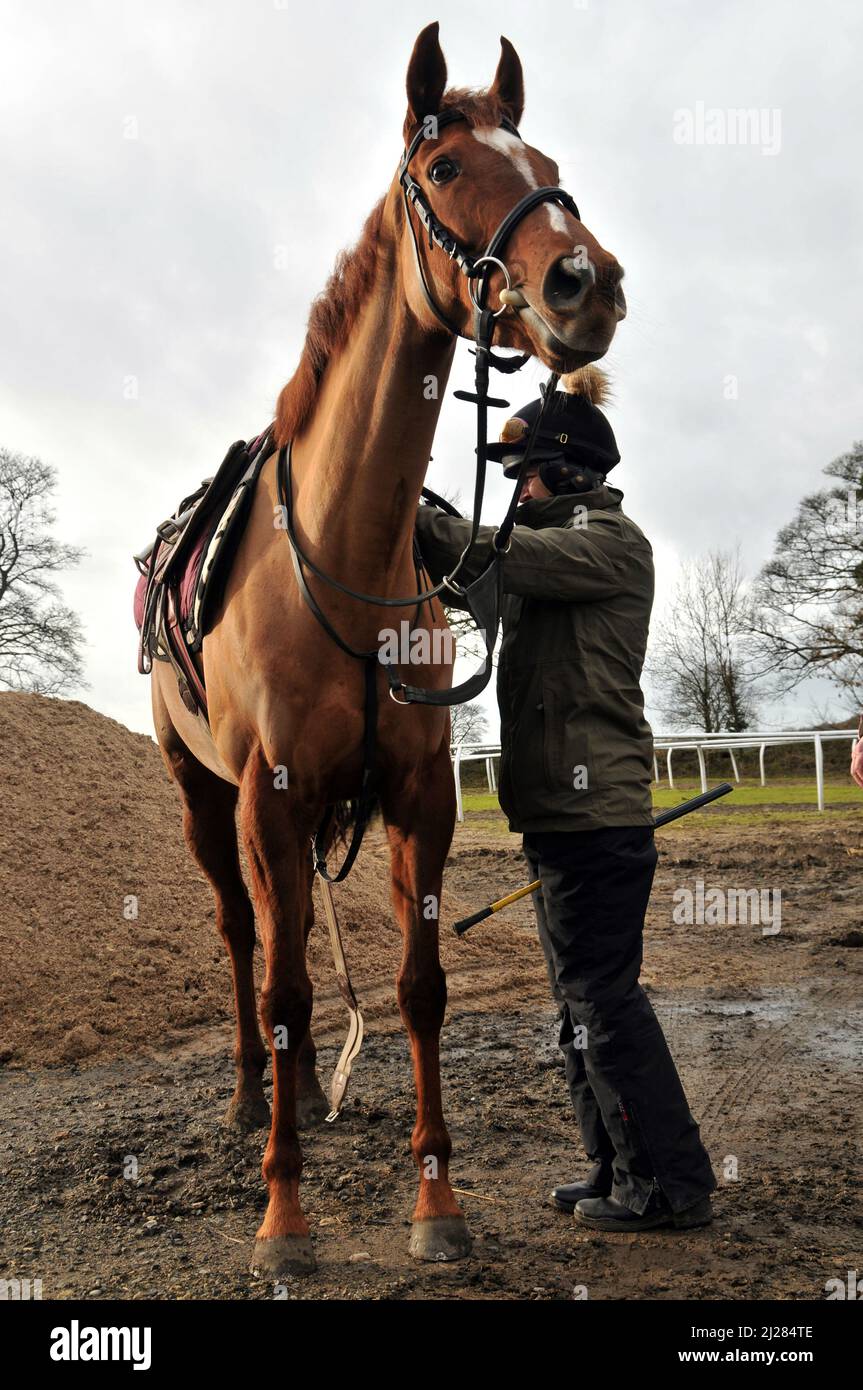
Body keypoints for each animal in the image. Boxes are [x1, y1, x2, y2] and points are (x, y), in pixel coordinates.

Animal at [150, 21, 626, 1277]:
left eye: (546, 160)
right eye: (447, 167)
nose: (584, 281)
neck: (346, 553)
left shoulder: (420, 797)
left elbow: (417, 988)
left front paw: (435, 1201)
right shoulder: (266, 798)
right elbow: (280, 988)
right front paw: (282, 1219)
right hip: (205, 799)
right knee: (245, 942)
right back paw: (248, 1095)